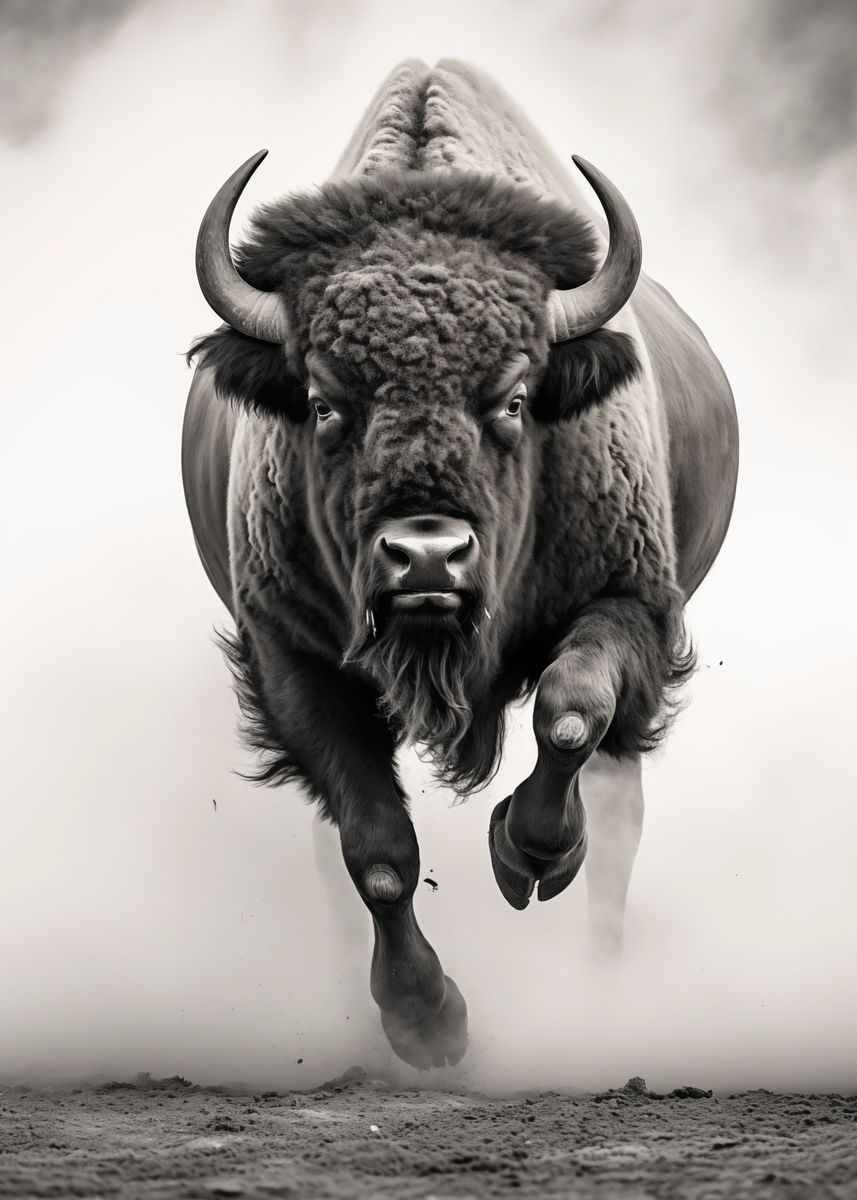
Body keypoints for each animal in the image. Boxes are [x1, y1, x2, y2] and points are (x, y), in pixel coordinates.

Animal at [183, 59, 738, 1068]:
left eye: (514, 397)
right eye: (323, 401)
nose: (426, 557)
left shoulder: (629, 603)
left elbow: (569, 714)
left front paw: (528, 855)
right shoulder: (292, 658)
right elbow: (376, 850)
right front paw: (425, 1020)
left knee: (617, 806)